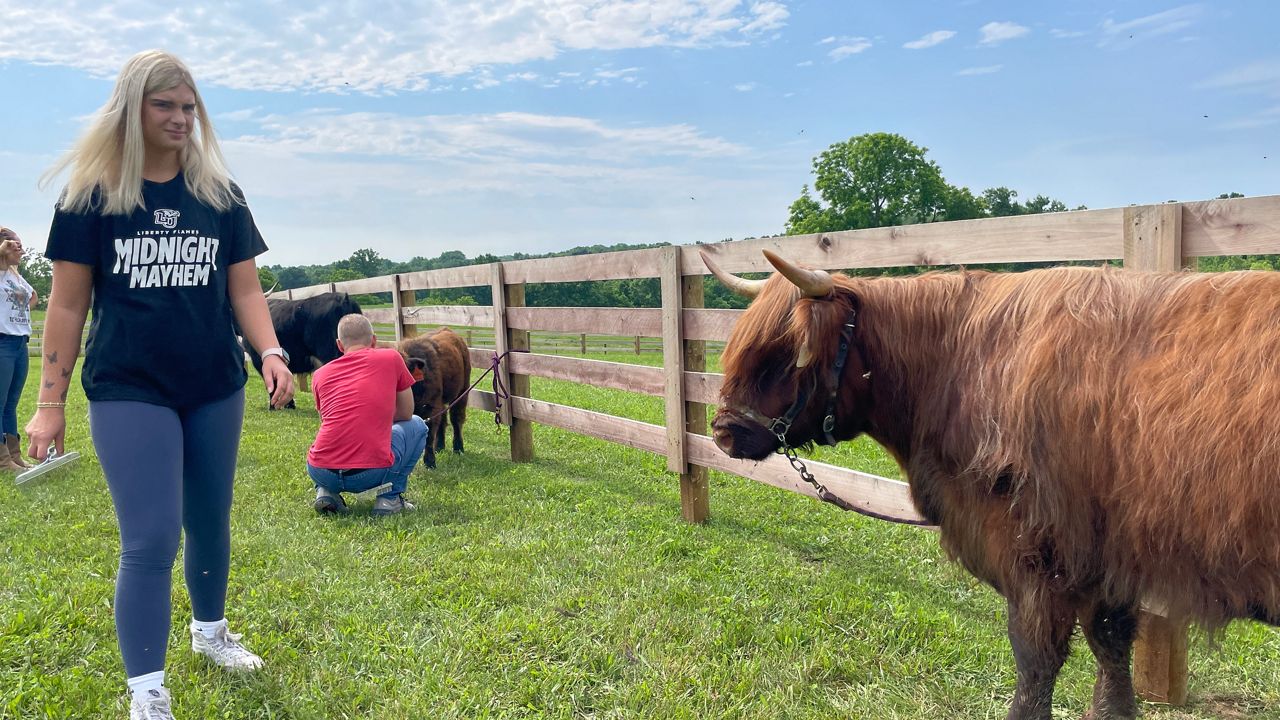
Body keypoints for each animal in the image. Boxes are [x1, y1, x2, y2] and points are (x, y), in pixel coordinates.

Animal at [397, 327, 471, 468]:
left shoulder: (430, 407)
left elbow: (429, 433)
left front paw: (430, 462)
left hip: (462, 391)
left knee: (456, 419)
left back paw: (458, 448)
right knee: (443, 420)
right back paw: (439, 447)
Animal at [703, 249, 1280, 720]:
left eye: (781, 354)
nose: (724, 433)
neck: (953, 367)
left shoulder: (1033, 550)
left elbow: (1036, 662)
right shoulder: (1105, 554)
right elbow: (1110, 649)